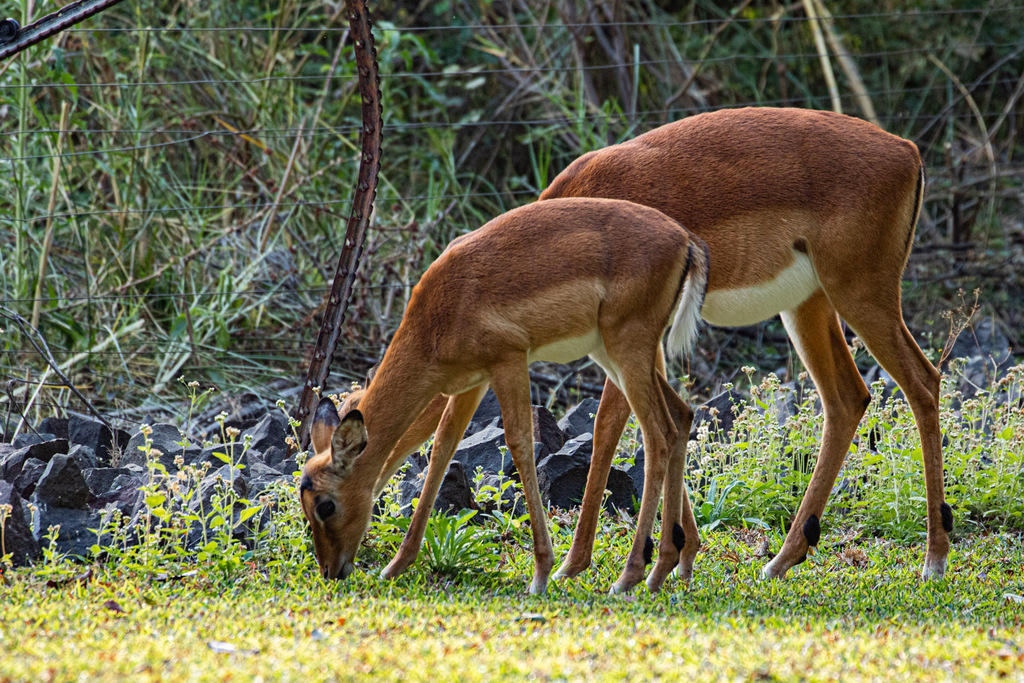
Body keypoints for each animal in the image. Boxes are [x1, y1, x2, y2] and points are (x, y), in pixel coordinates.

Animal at [300, 197, 709, 595]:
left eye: (325, 505)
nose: (330, 571)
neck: (438, 316)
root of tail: (685, 240)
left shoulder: (508, 361)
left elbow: (520, 444)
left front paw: (541, 573)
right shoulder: (470, 383)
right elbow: (442, 448)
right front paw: (397, 565)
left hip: (626, 350)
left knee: (659, 434)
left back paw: (631, 576)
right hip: (616, 355)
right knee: (681, 416)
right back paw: (665, 568)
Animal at [358, 107, 950, 590]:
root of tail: (906, 150)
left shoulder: (627, 340)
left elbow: (609, 431)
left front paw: (582, 563)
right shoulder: (645, 346)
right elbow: (663, 425)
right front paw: (678, 554)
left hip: (861, 295)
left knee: (923, 382)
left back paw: (934, 559)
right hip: (809, 307)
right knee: (848, 399)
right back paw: (782, 559)